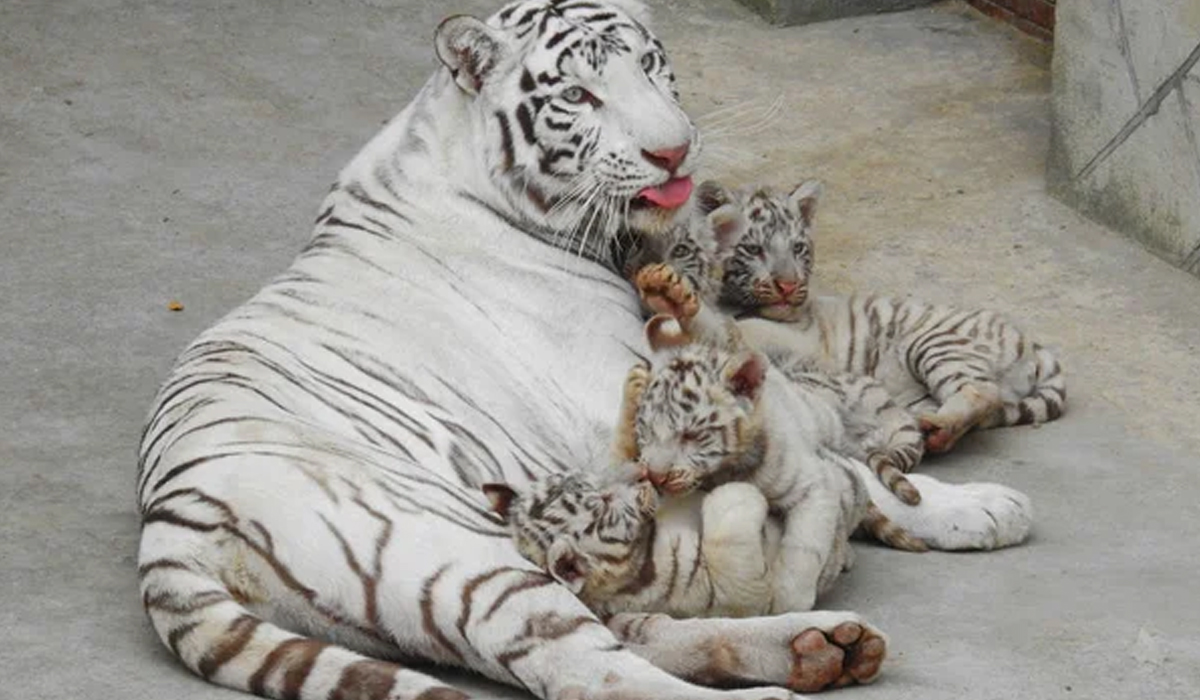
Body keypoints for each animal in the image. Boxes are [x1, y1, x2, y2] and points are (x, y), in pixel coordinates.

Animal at [696, 180, 1067, 453]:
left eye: (798, 248)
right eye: (754, 249)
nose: (789, 286)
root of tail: (1030, 343)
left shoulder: (798, 341)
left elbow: (739, 328)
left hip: (934, 343)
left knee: (982, 391)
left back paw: (939, 429)